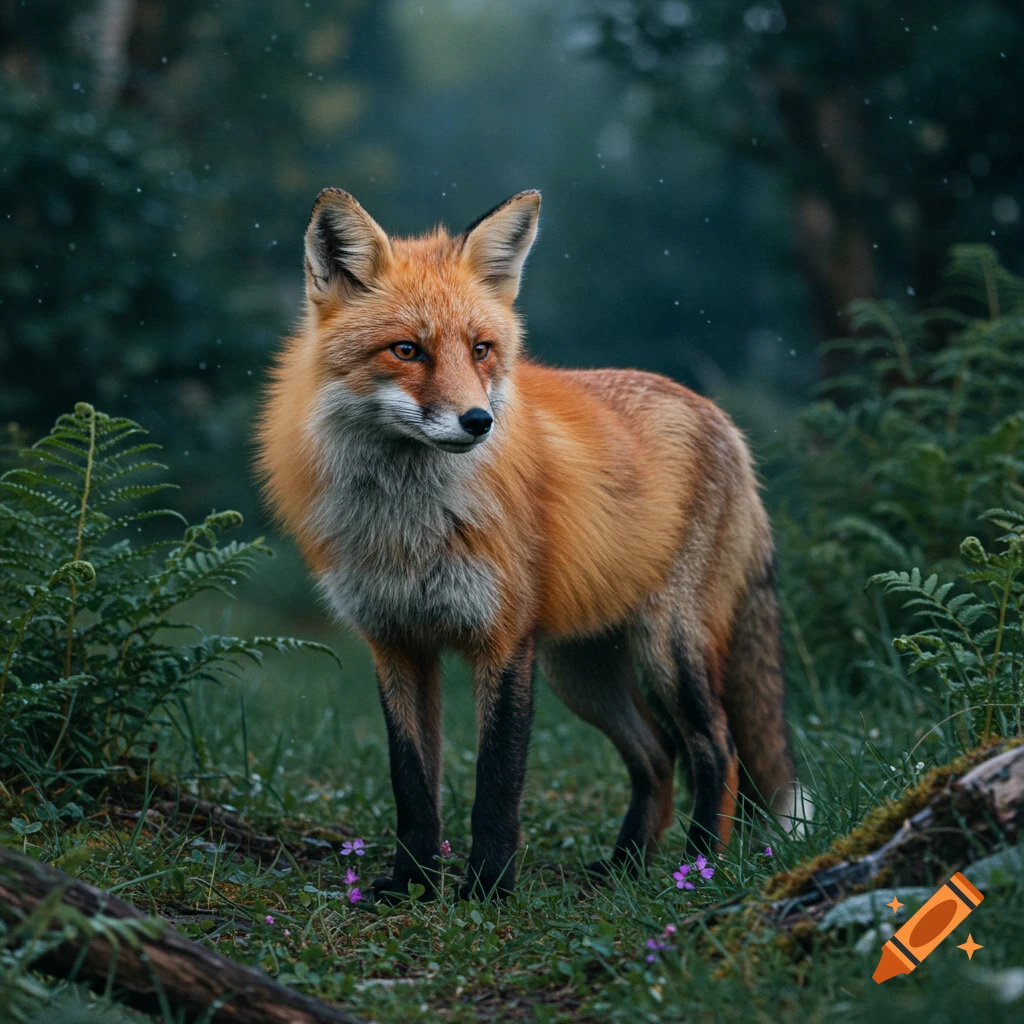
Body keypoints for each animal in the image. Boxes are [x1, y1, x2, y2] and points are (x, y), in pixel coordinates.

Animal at [256, 187, 806, 902]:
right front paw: (410, 884)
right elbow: (411, 782)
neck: (409, 526)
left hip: (667, 647)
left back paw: (699, 868)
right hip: (580, 670)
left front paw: (487, 886)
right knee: (657, 755)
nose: (478, 422)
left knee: (718, 746)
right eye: (406, 350)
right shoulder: (395, 641)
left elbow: (497, 782)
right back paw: (625, 866)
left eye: (481, 349)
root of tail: (724, 422)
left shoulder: (504, 639)